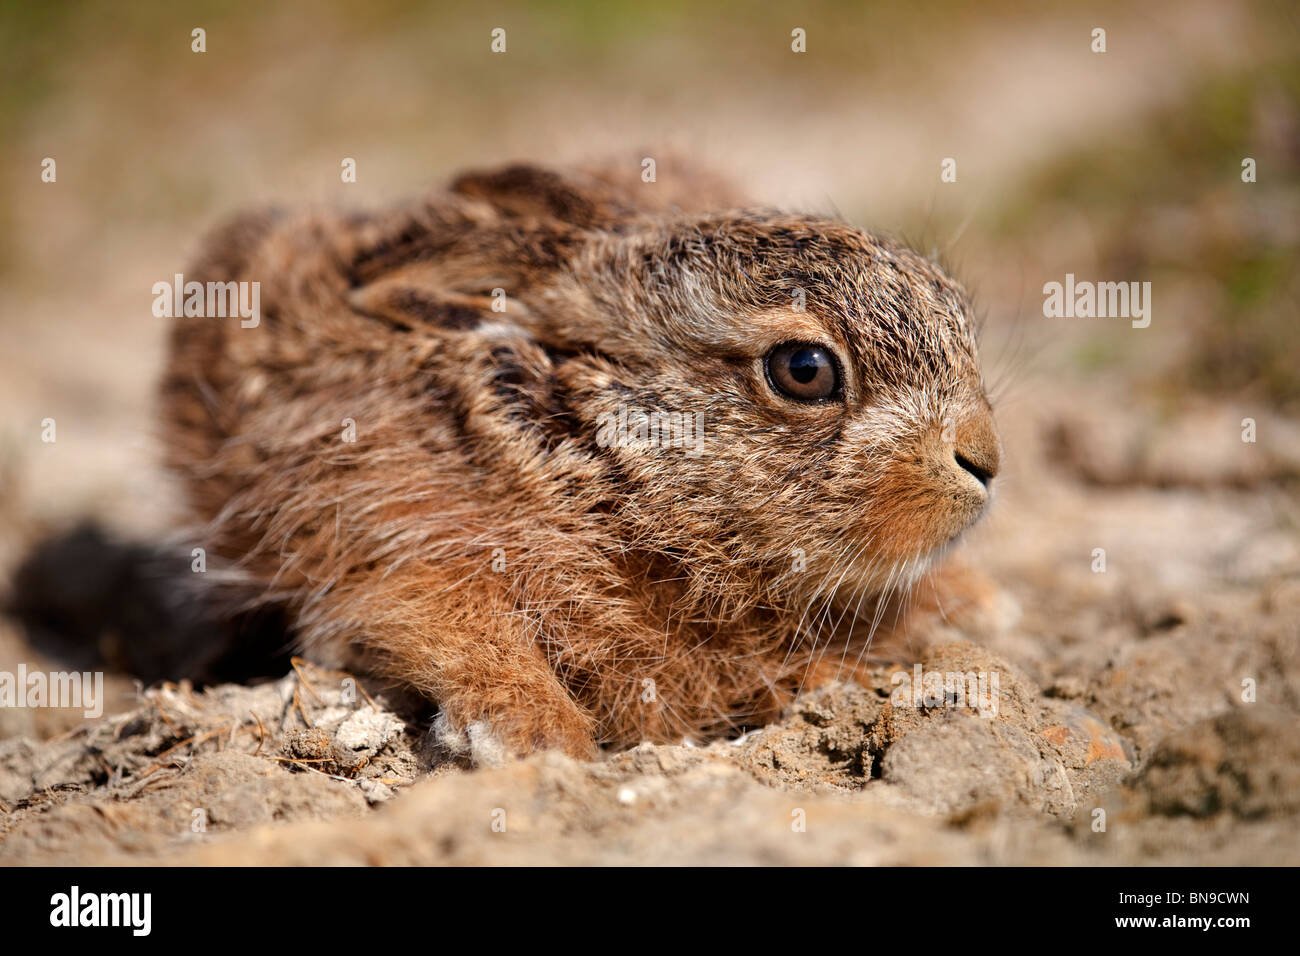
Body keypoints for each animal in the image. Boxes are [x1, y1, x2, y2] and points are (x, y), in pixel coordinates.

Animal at [158, 159, 1001, 763]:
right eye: (803, 370)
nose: (985, 461)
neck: (608, 468)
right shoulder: (398, 554)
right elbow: (457, 626)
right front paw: (534, 734)